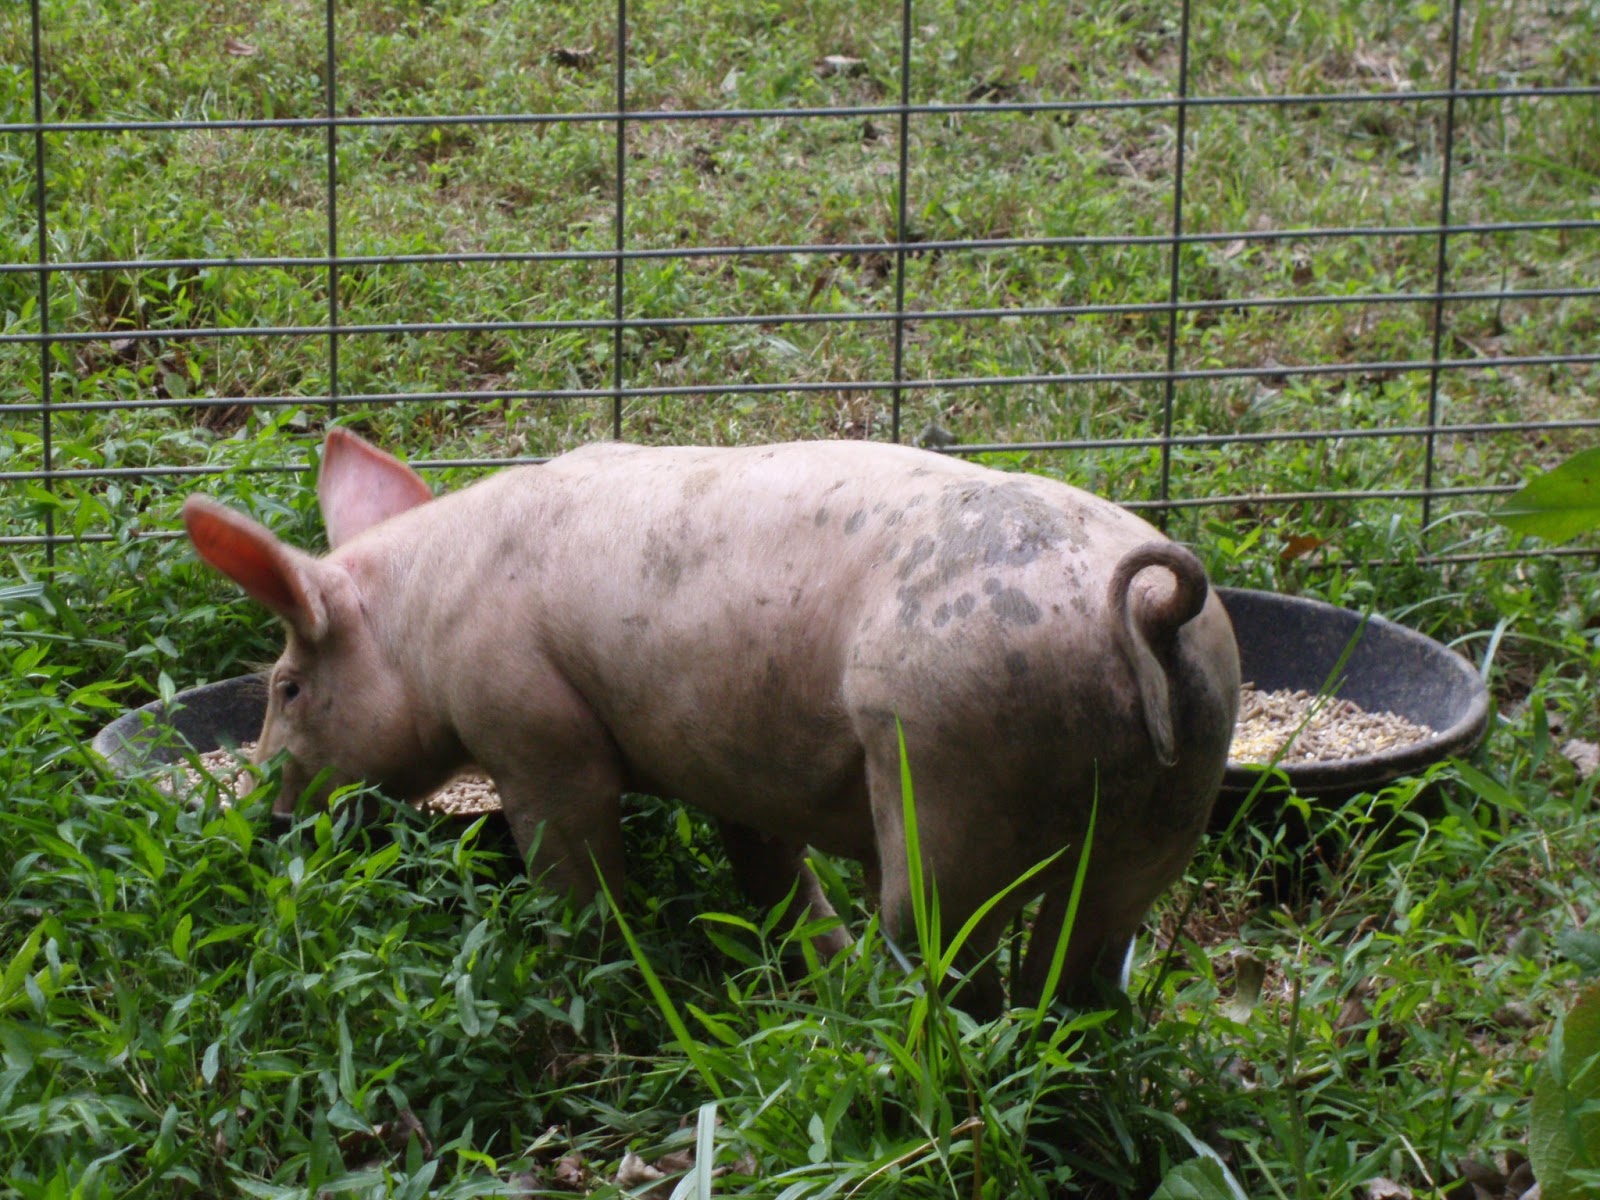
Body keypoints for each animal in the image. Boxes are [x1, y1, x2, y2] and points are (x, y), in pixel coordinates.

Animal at [182, 429, 1240, 1011]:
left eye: (285, 687)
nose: (269, 820)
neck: (423, 617)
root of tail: (1146, 610)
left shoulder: (529, 725)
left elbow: (574, 858)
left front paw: (585, 958)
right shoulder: (733, 758)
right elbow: (765, 866)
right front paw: (814, 959)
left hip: (950, 773)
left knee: (955, 958)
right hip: (1177, 793)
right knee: (1085, 960)